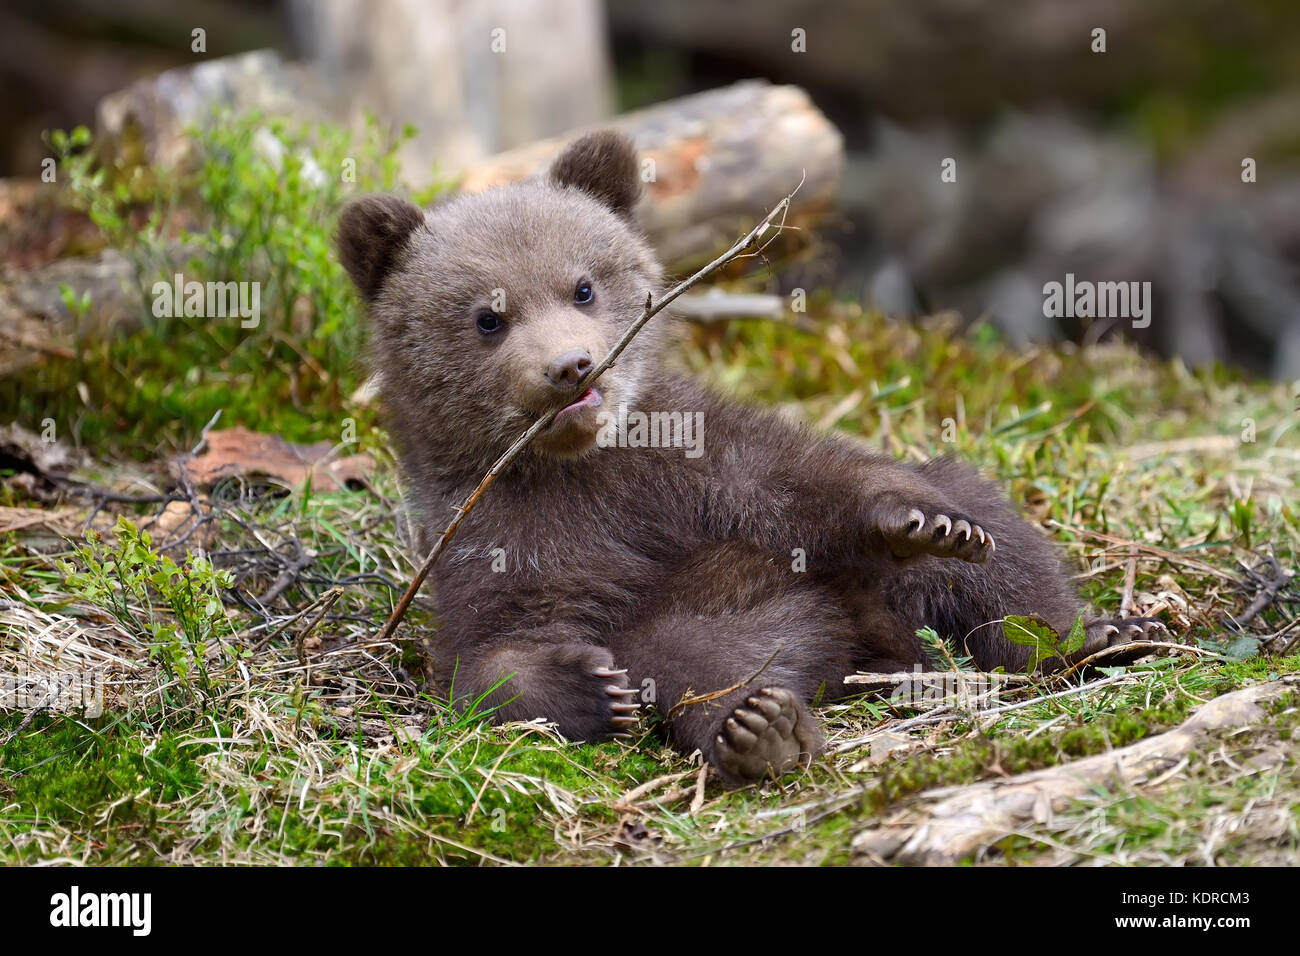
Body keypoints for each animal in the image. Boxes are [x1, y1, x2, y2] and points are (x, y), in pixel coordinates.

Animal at [335, 130, 1164, 785]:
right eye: (488, 317)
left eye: (583, 286)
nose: (572, 367)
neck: (581, 464)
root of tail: (873, 640)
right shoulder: (496, 536)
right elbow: (491, 655)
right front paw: (587, 686)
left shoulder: (691, 459)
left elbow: (798, 482)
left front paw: (922, 520)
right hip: (729, 621)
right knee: (702, 659)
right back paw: (763, 728)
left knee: (1001, 554)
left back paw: (1091, 638)